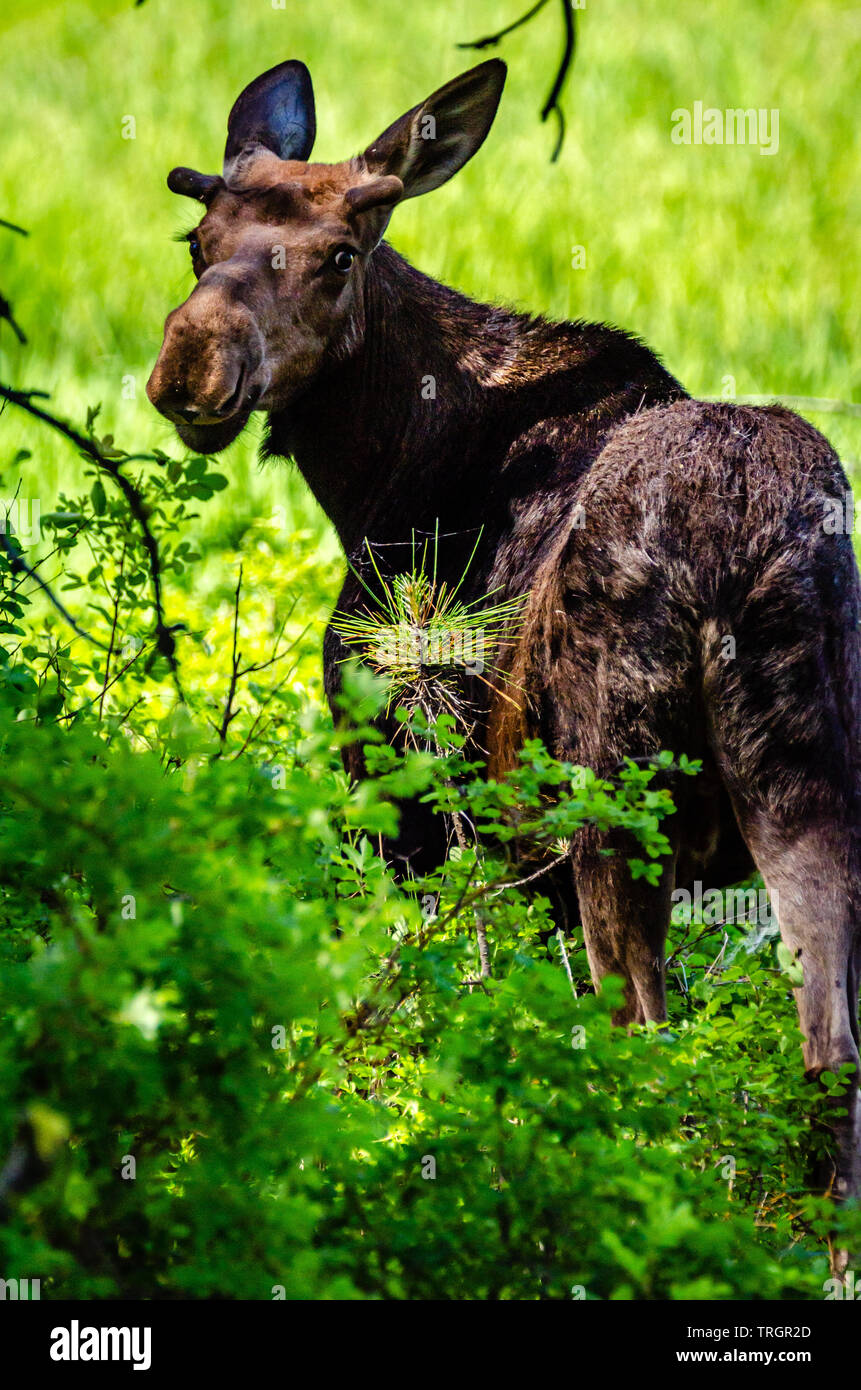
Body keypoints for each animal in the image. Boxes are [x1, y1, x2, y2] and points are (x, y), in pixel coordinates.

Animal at [147, 57, 861, 1214]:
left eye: (340, 254)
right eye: (198, 241)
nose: (190, 365)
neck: (371, 472)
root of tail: (742, 542)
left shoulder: (403, 774)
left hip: (615, 802)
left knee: (645, 1040)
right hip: (808, 782)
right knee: (827, 1058)